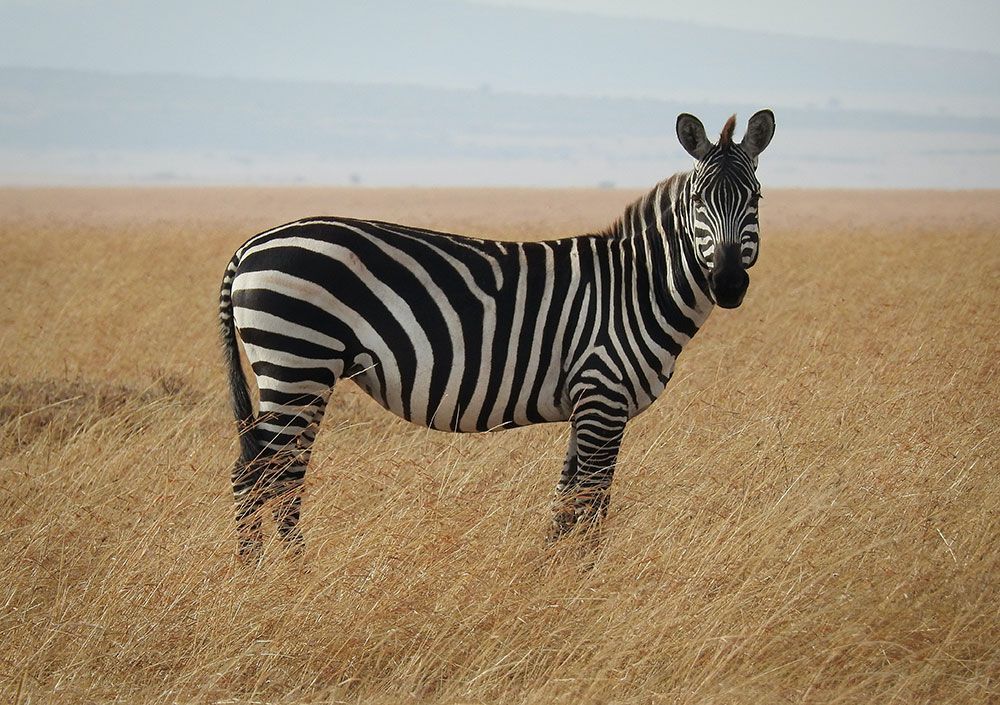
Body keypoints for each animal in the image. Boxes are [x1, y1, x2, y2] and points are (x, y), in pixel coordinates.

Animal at [219, 110, 775, 560]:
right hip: (298, 363)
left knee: (268, 473)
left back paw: (265, 572)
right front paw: (587, 581)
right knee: (266, 475)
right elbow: (593, 502)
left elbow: (565, 502)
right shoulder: (603, 394)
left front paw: (549, 576)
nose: (728, 284)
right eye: (699, 200)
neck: (636, 287)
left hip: (298, 372)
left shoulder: (586, 403)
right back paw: (281, 577)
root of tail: (250, 245)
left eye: (756, 198)